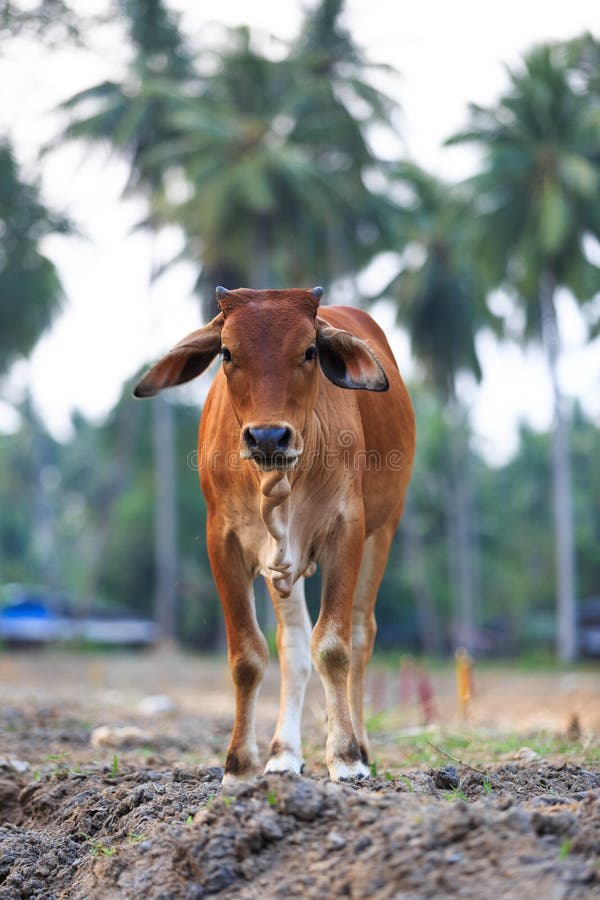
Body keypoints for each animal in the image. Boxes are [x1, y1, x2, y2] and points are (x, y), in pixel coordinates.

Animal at [134, 287, 415, 784]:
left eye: (309, 351)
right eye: (227, 352)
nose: (268, 437)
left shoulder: (348, 530)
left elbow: (335, 646)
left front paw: (345, 758)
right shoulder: (224, 541)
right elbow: (248, 656)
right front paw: (239, 765)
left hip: (385, 527)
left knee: (361, 634)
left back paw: (361, 745)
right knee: (293, 645)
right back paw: (284, 753)